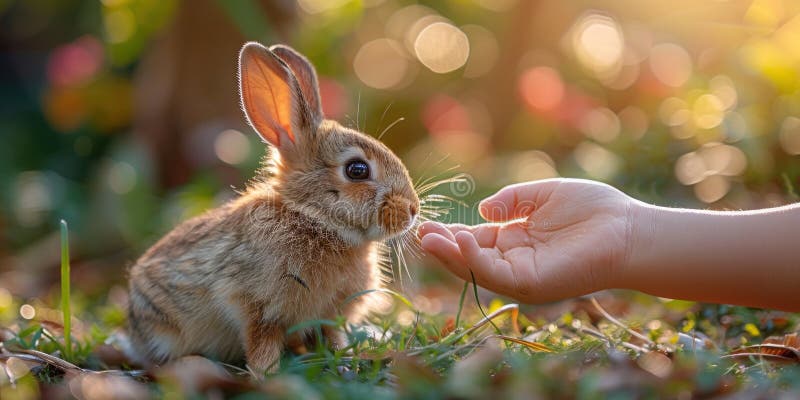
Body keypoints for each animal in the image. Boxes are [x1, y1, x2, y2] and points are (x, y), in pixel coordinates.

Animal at [127, 42, 420, 375]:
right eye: (357, 170)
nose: (412, 210)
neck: (313, 218)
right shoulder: (255, 305)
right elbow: (261, 343)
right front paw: (267, 375)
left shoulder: (329, 315)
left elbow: (332, 337)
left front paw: (344, 363)